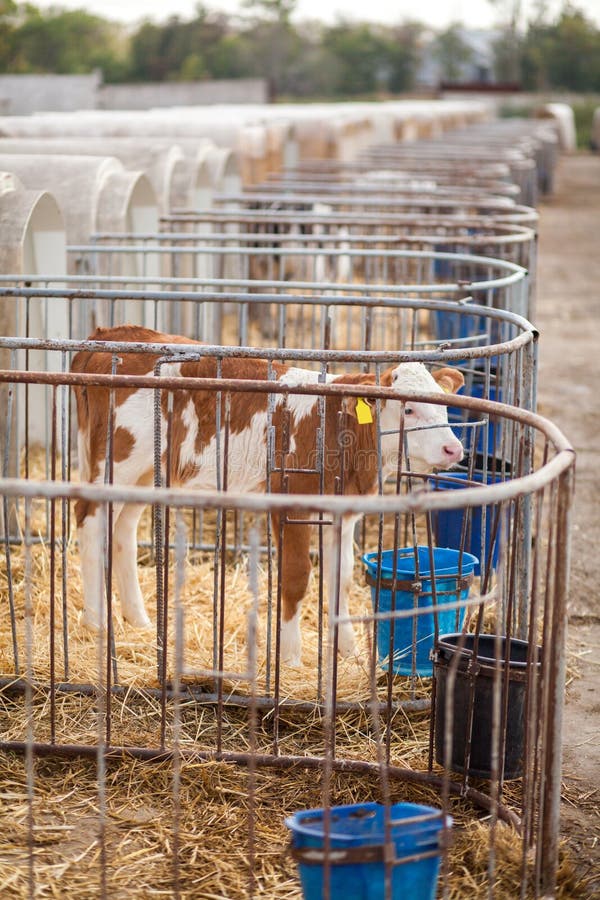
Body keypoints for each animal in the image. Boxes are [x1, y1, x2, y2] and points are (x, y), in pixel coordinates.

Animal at [71, 325, 464, 666]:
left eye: (445, 406)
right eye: (409, 409)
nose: (453, 448)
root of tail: (110, 335)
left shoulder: (344, 511)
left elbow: (341, 578)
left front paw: (348, 652)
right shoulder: (290, 501)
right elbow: (296, 577)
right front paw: (290, 658)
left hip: (145, 473)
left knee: (122, 532)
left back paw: (138, 620)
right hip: (117, 460)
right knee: (90, 521)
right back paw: (96, 621)